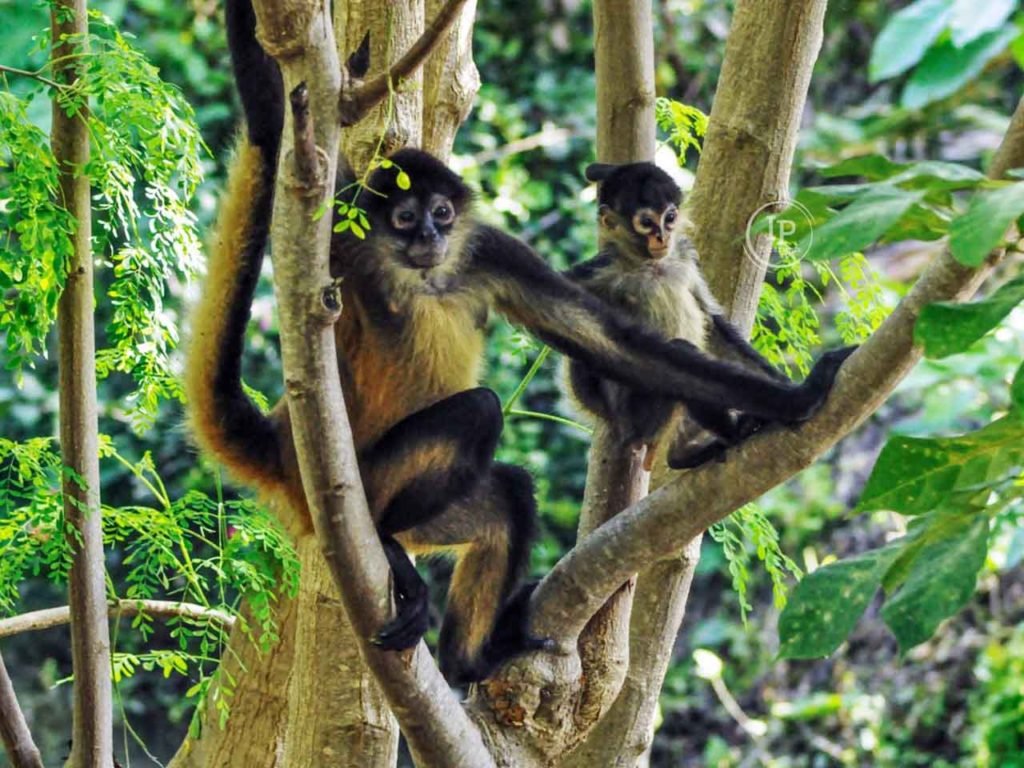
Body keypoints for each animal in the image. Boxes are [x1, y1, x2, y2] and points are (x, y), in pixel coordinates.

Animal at [569, 163, 831, 468]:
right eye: (646, 222)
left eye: (670, 218)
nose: (662, 236)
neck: (651, 264)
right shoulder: (604, 267)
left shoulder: (684, 252)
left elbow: (714, 325)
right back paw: (726, 436)